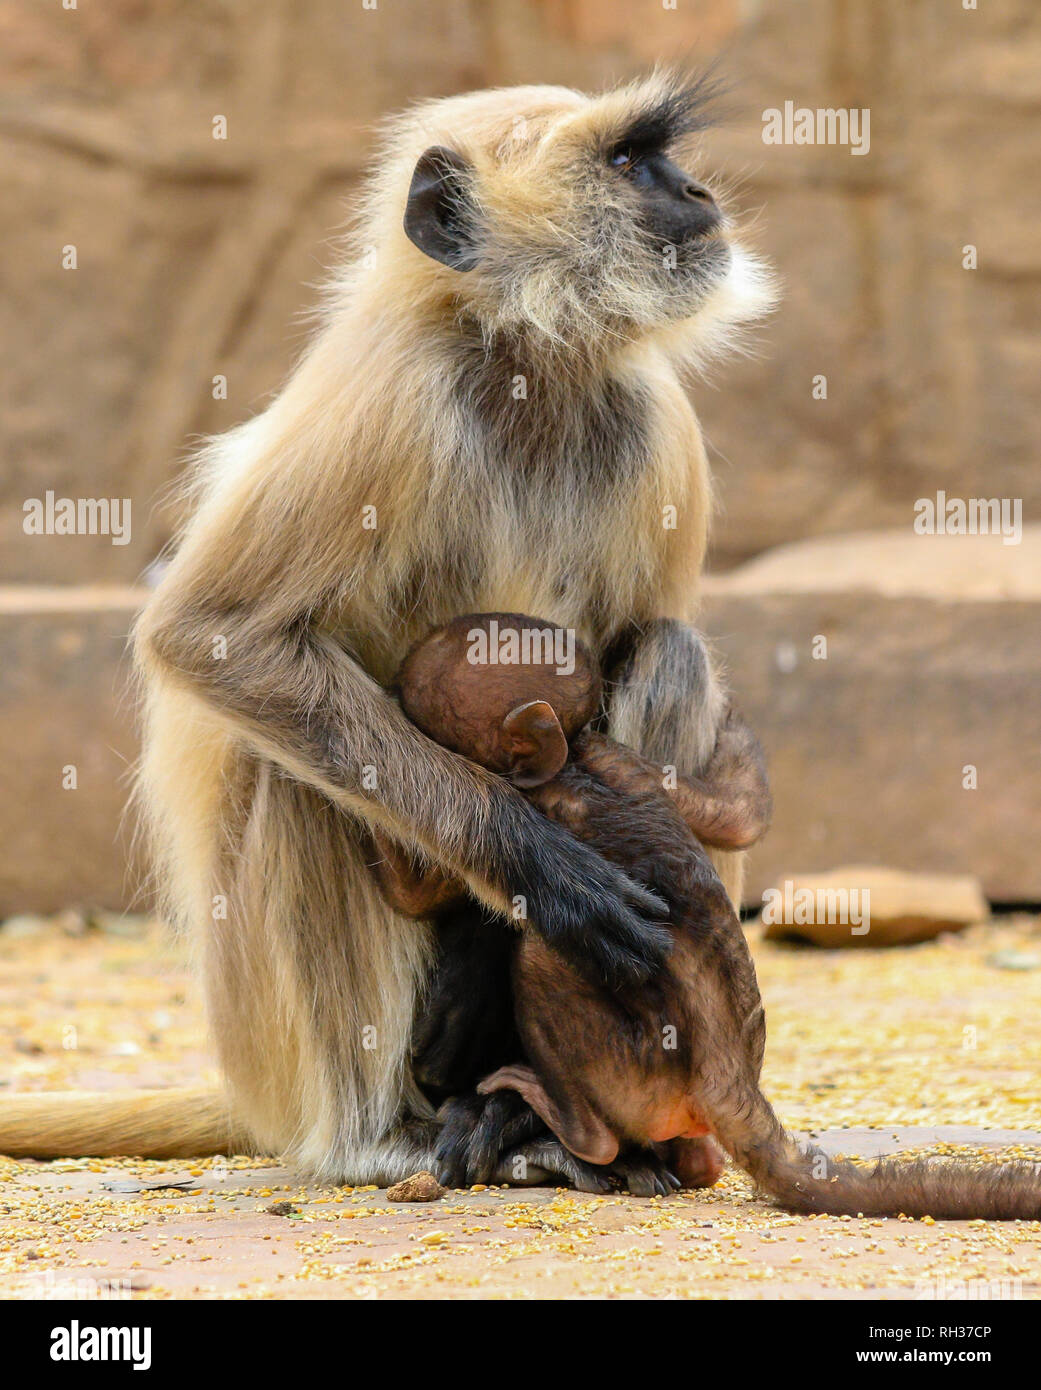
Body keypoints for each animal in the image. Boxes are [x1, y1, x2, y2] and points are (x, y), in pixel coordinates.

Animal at [0, 73, 778, 1181]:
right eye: (630, 163)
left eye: (661, 160)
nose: (697, 193)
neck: (522, 362)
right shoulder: (393, 398)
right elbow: (215, 635)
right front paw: (542, 877)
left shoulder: (651, 418)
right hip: (271, 1044)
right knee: (293, 775)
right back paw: (385, 1136)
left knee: (669, 653)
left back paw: (571, 1124)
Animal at [370, 614, 1041, 1218]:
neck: (569, 765)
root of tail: (730, 1080)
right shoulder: (617, 758)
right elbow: (735, 813)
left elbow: (417, 892)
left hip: (637, 1078)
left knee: (545, 957)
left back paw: (574, 1128)